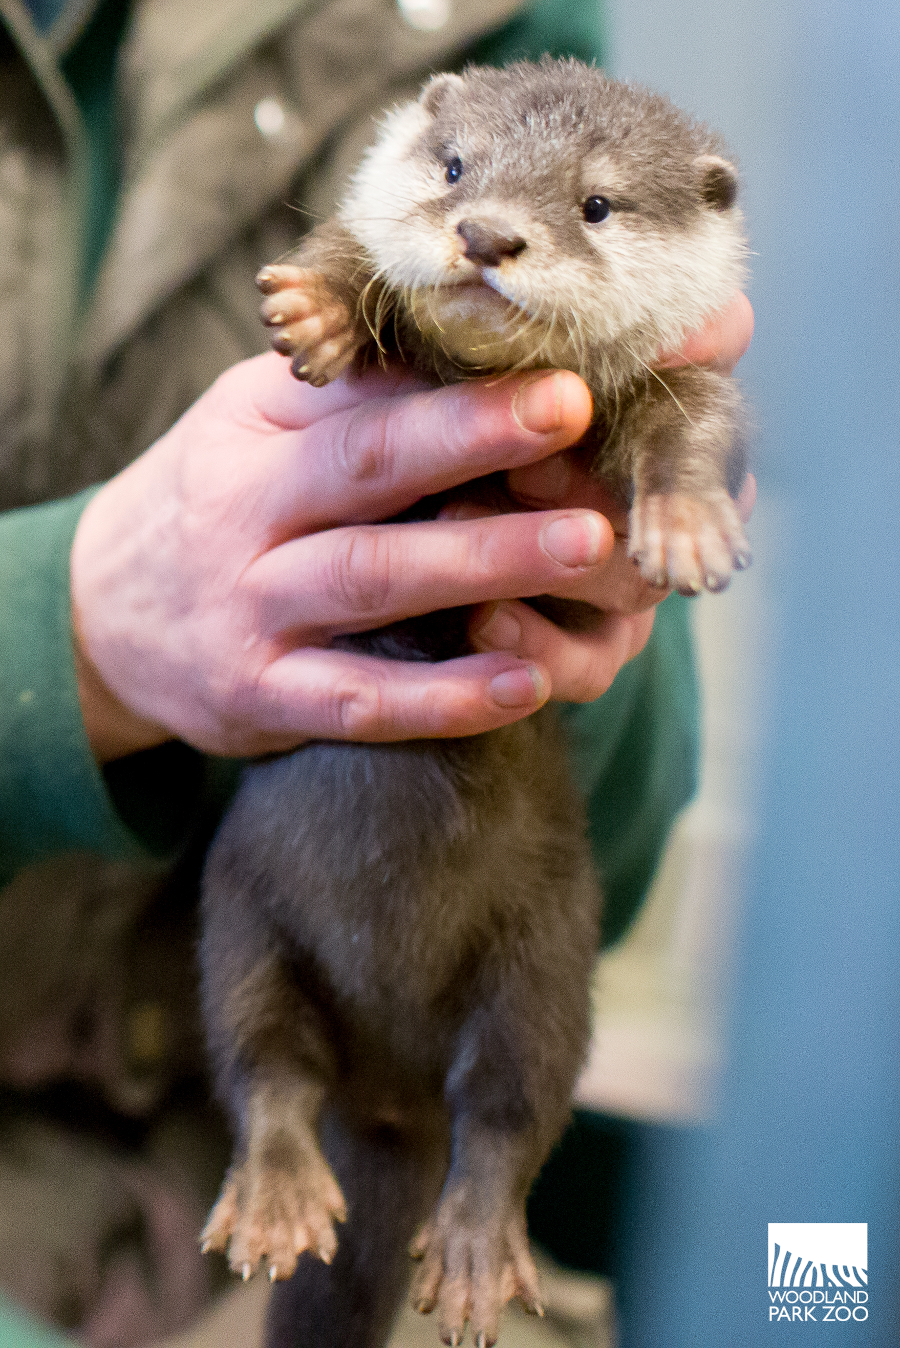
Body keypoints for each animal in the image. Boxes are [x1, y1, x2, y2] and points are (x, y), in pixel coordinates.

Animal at [199, 59, 749, 1348]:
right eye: (454, 168)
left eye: (597, 203)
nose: (488, 234)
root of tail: (391, 1090)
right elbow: (350, 247)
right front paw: (320, 306)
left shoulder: (678, 382)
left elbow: (693, 424)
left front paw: (687, 521)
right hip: (240, 913)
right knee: (263, 1062)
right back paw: (281, 1194)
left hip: (546, 957)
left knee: (507, 1108)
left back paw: (471, 1249)